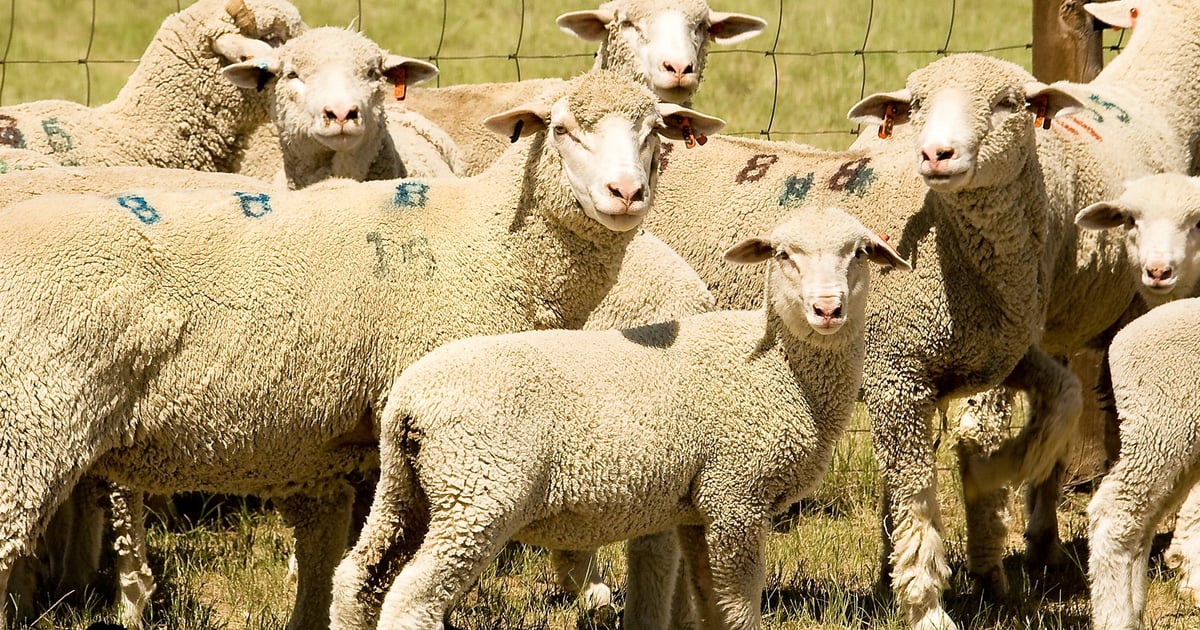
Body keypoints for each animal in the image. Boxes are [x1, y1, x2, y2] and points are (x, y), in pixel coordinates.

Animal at [0, 68, 721, 630]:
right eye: (566, 129)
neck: (495, 245)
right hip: (32, 430)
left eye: (655, 132)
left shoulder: (326, 452)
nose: (625, 194)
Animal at [328, 205, 910, 630]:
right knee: (411, 598)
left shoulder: (698, 509)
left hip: (409, 492)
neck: (778, 370)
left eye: (860, 252)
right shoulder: (735, 497)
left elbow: (712, 605)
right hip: (477, 494)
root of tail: (409, 400)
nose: (828, 309)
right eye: (785, 255)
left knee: (358, 580)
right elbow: (739, 608)